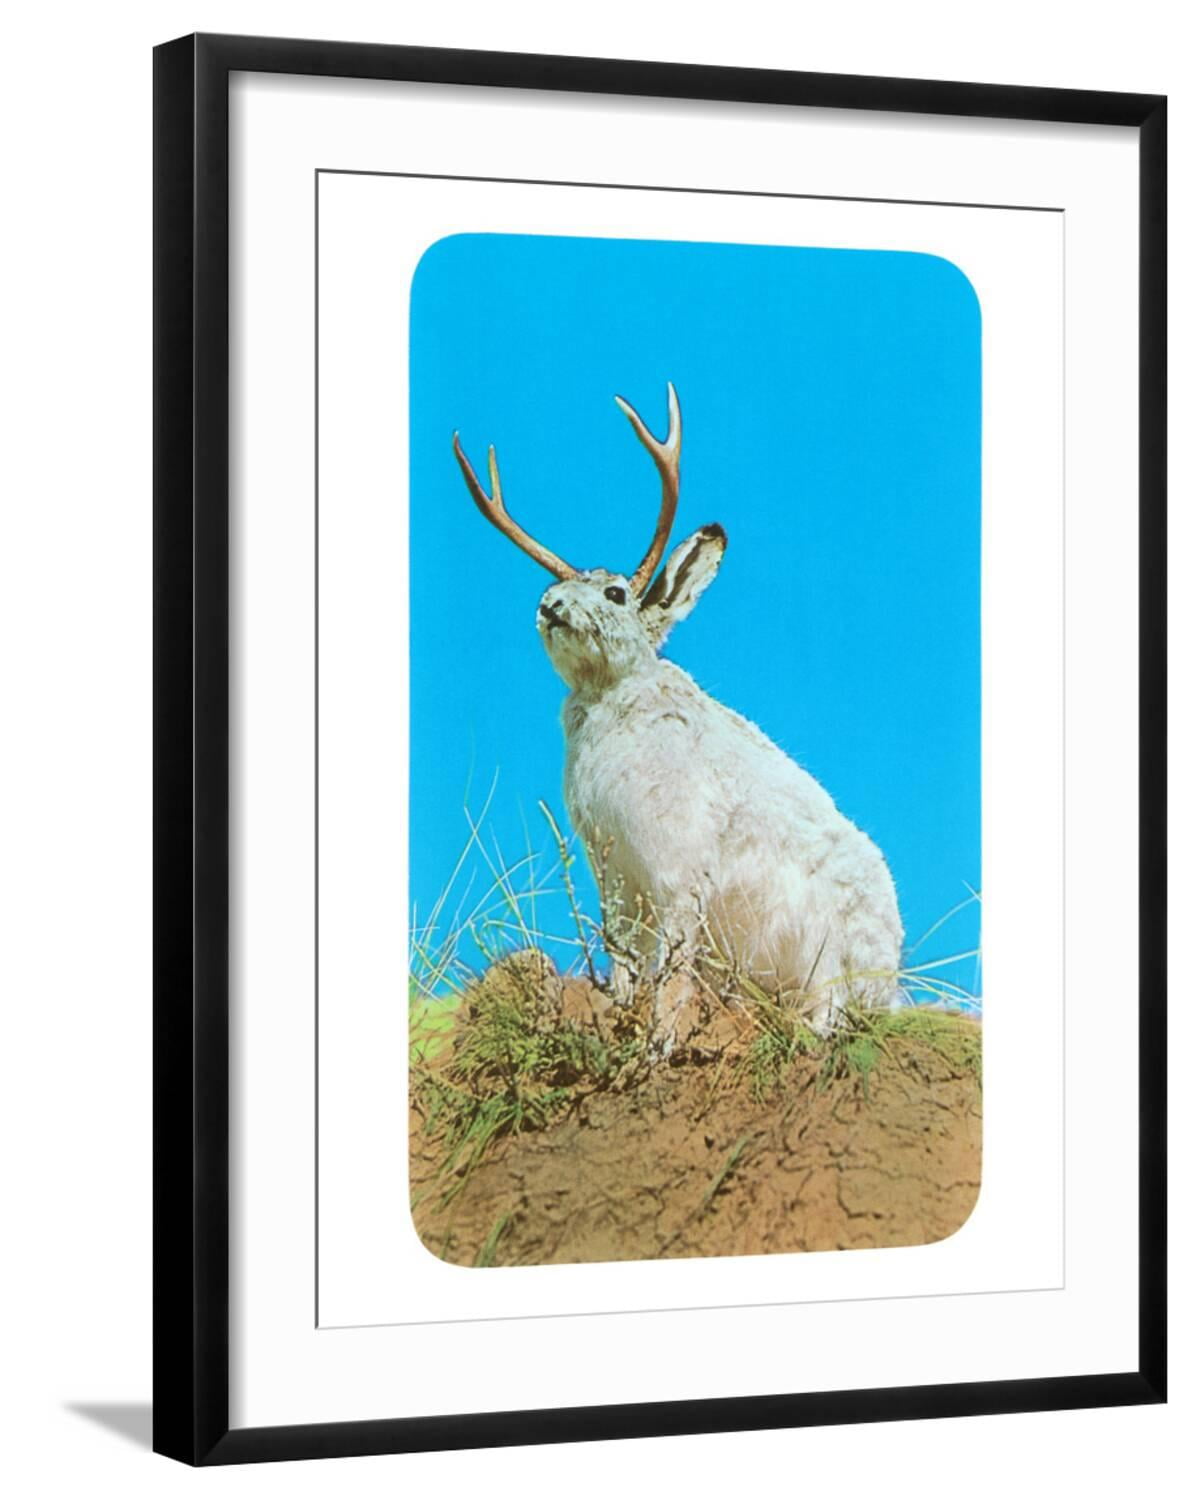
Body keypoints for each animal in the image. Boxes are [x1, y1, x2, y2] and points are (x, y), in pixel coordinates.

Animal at [453, 383, 903, 1052]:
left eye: (615, 594)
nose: (548, 605)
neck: (612, 695)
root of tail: (890, 975)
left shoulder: (676, 874)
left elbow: (674, 969)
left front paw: (657, 1045)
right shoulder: (615, 884)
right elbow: (626, 963)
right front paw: (621, 1015)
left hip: (829, 962)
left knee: (824, 1015)